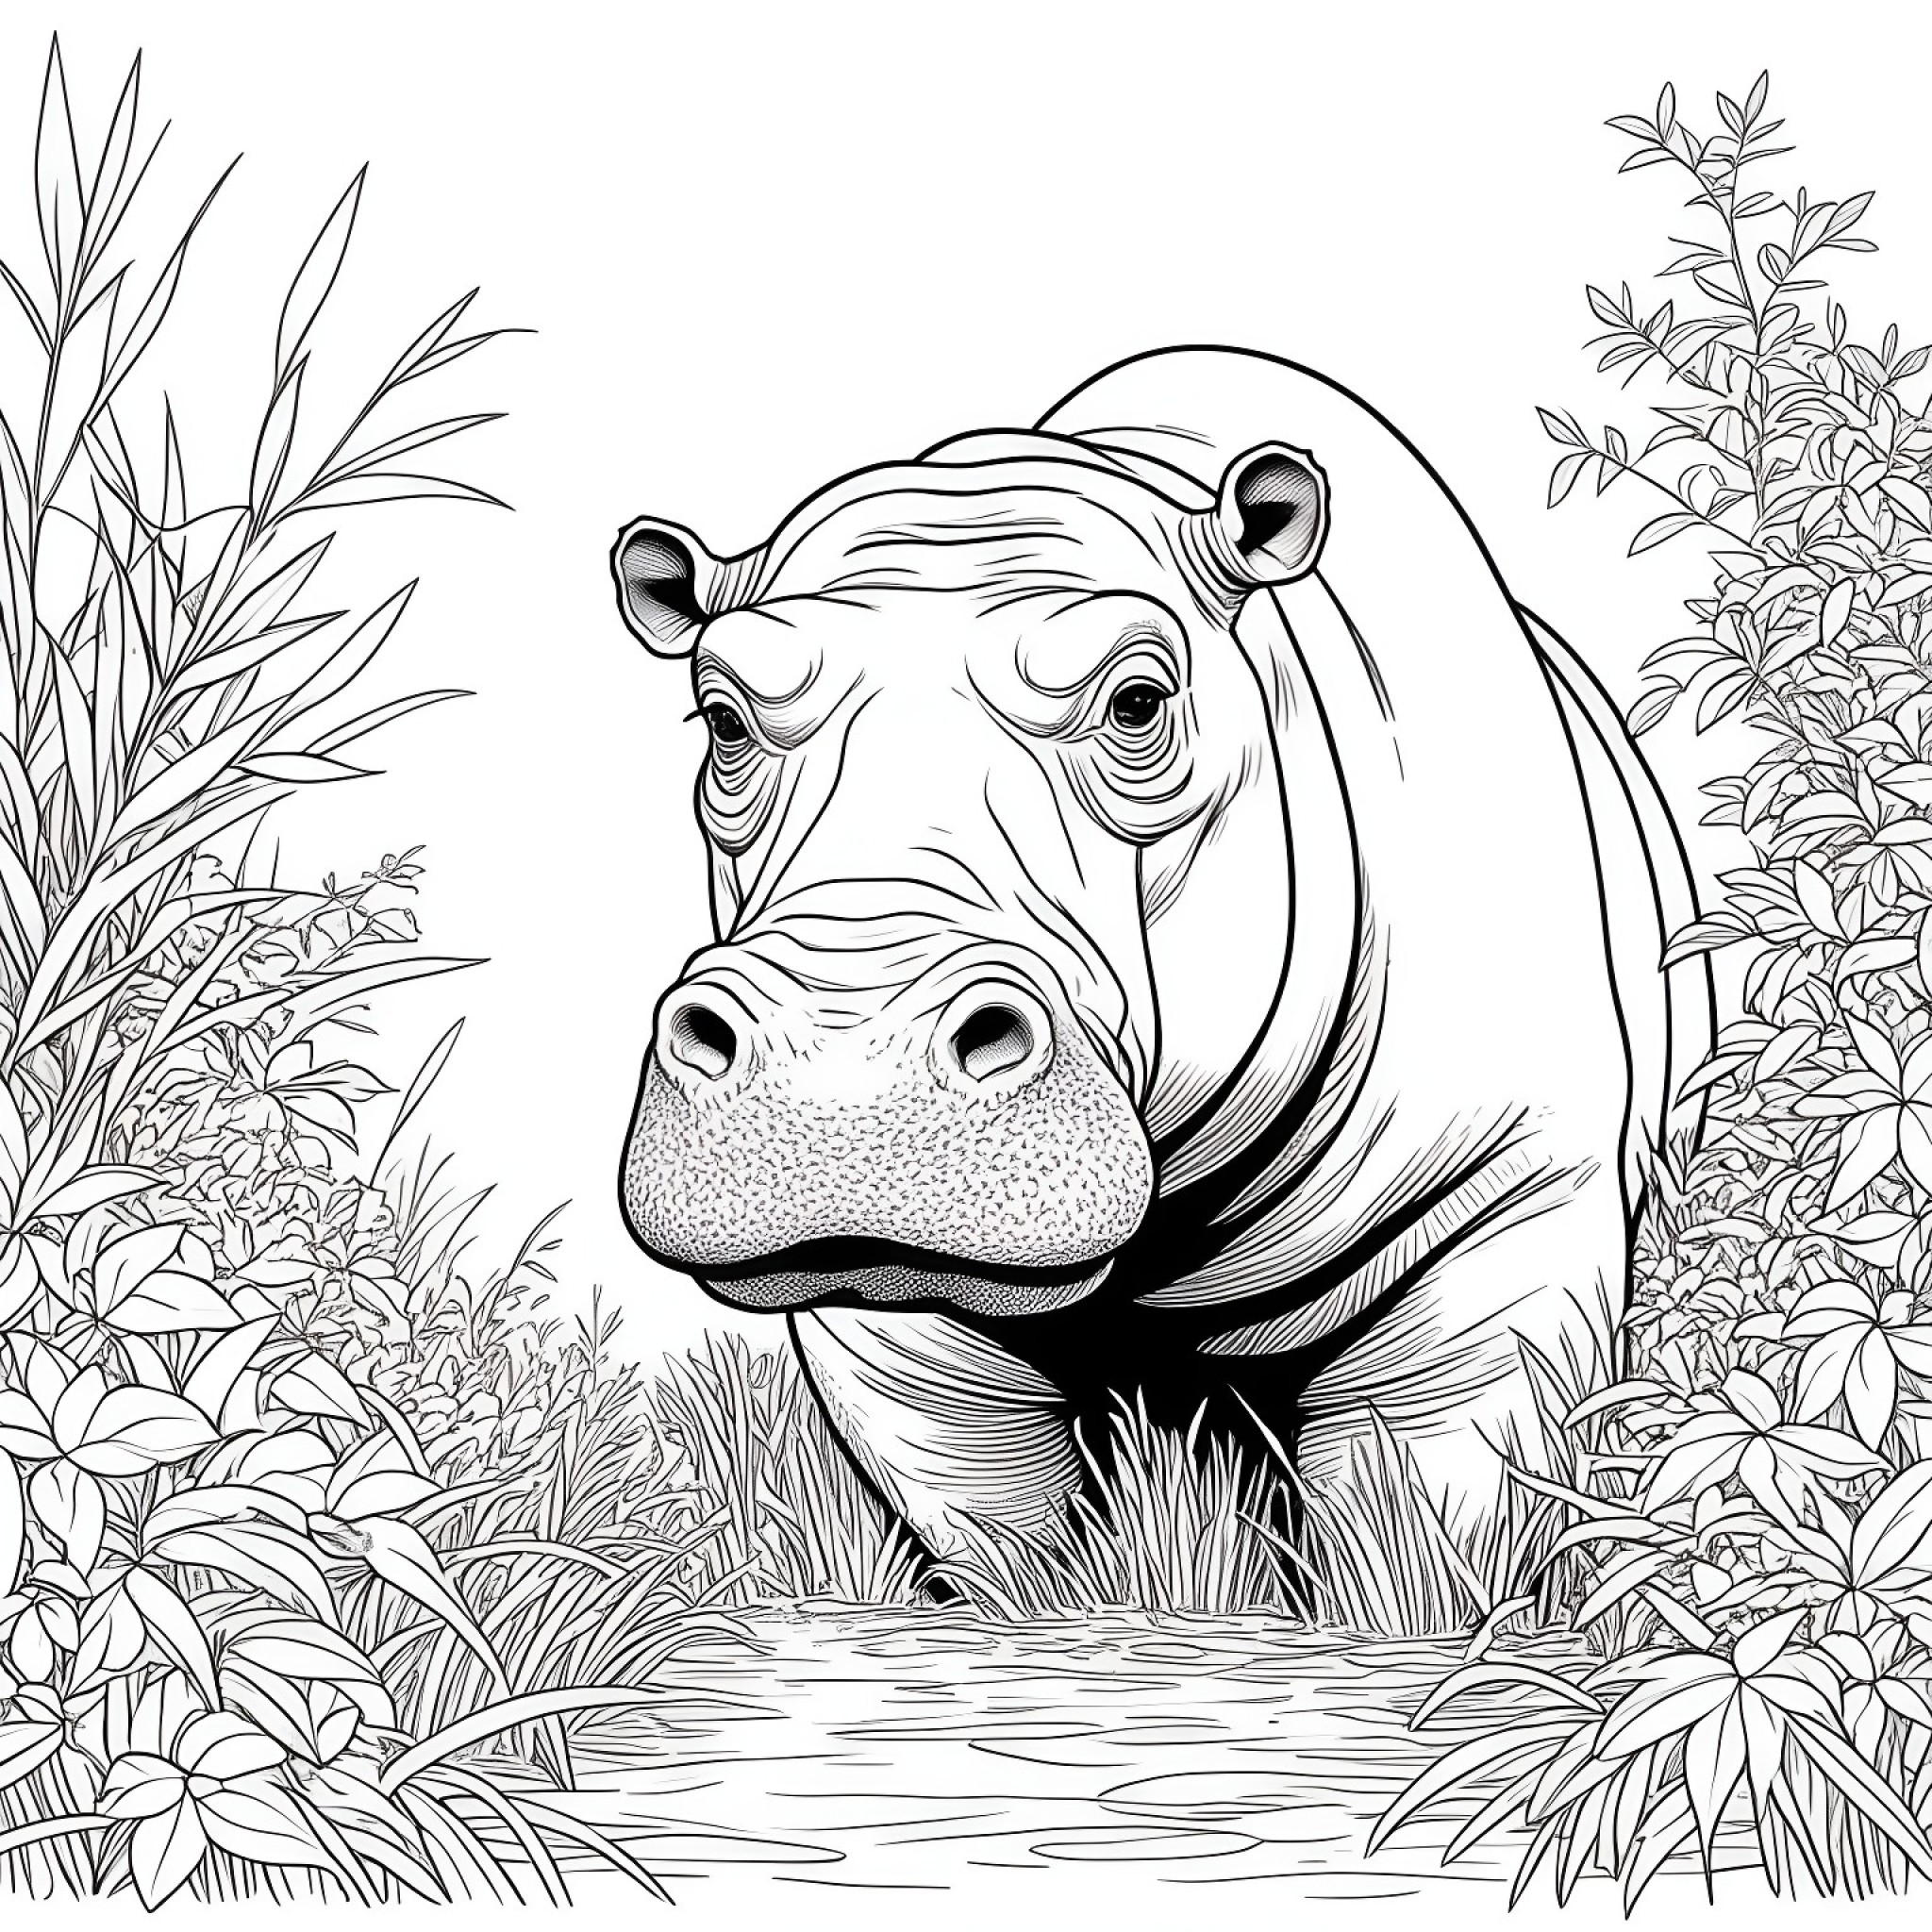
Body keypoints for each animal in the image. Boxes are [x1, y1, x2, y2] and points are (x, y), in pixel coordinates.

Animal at [611, 347, 1711, 1578]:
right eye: (720, 718)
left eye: (1139, 700)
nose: (841, 1078)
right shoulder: (891, 1314)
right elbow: (1004, 1536)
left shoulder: (1507, 1191)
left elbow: (1427, 1518)